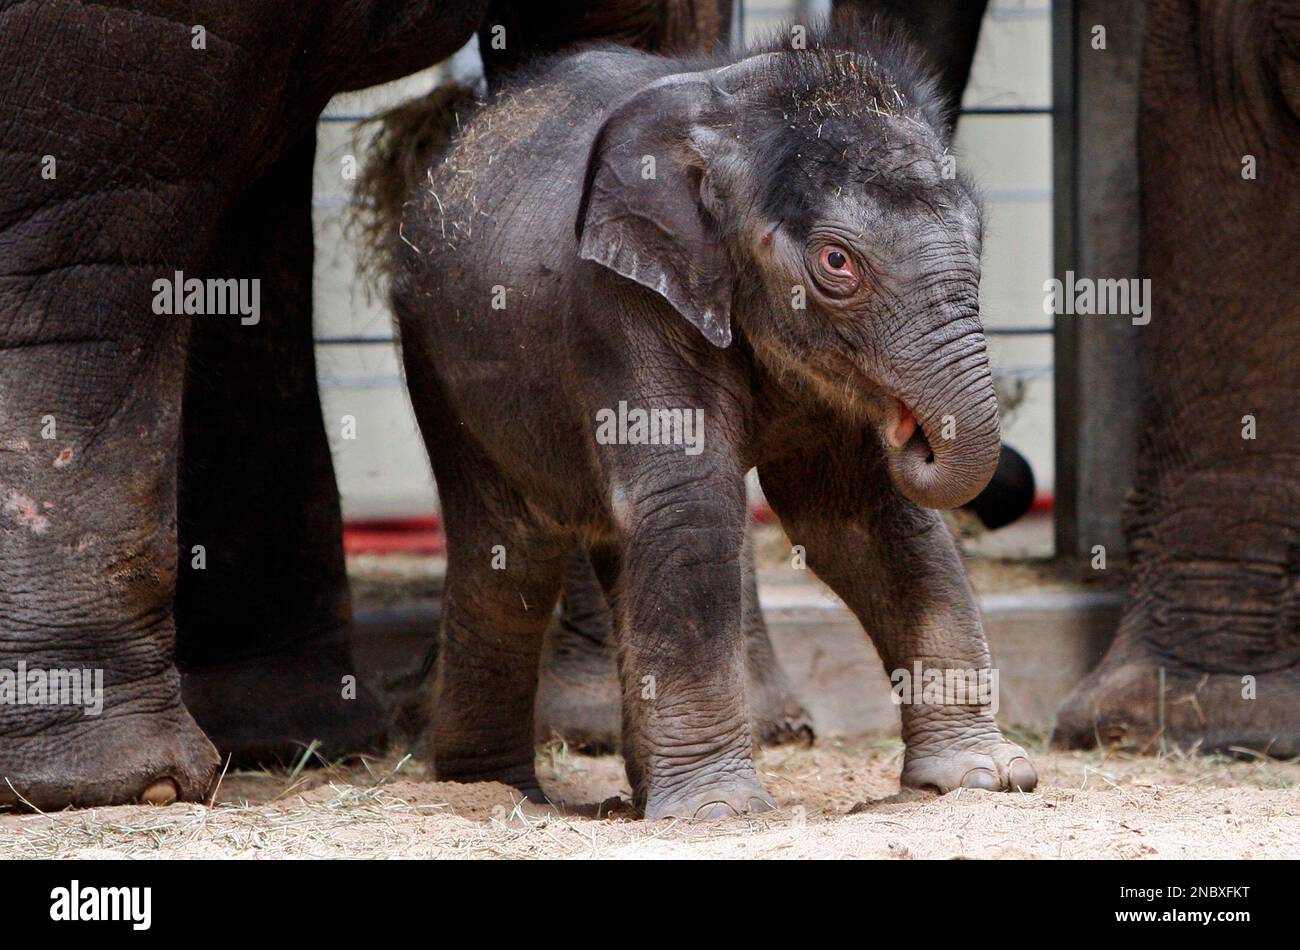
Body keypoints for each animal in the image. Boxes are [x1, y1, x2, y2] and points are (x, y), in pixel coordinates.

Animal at [370, 13, 1038, 819]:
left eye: (981, 239)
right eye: (837, 263)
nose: (910, 428)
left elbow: (859, 518)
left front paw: (982, 779)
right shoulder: (624, 300)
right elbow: (693, 503)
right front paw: (720, 813)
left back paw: (629, 793)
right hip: (437, 359)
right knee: (507, 554)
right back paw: (492, 792)